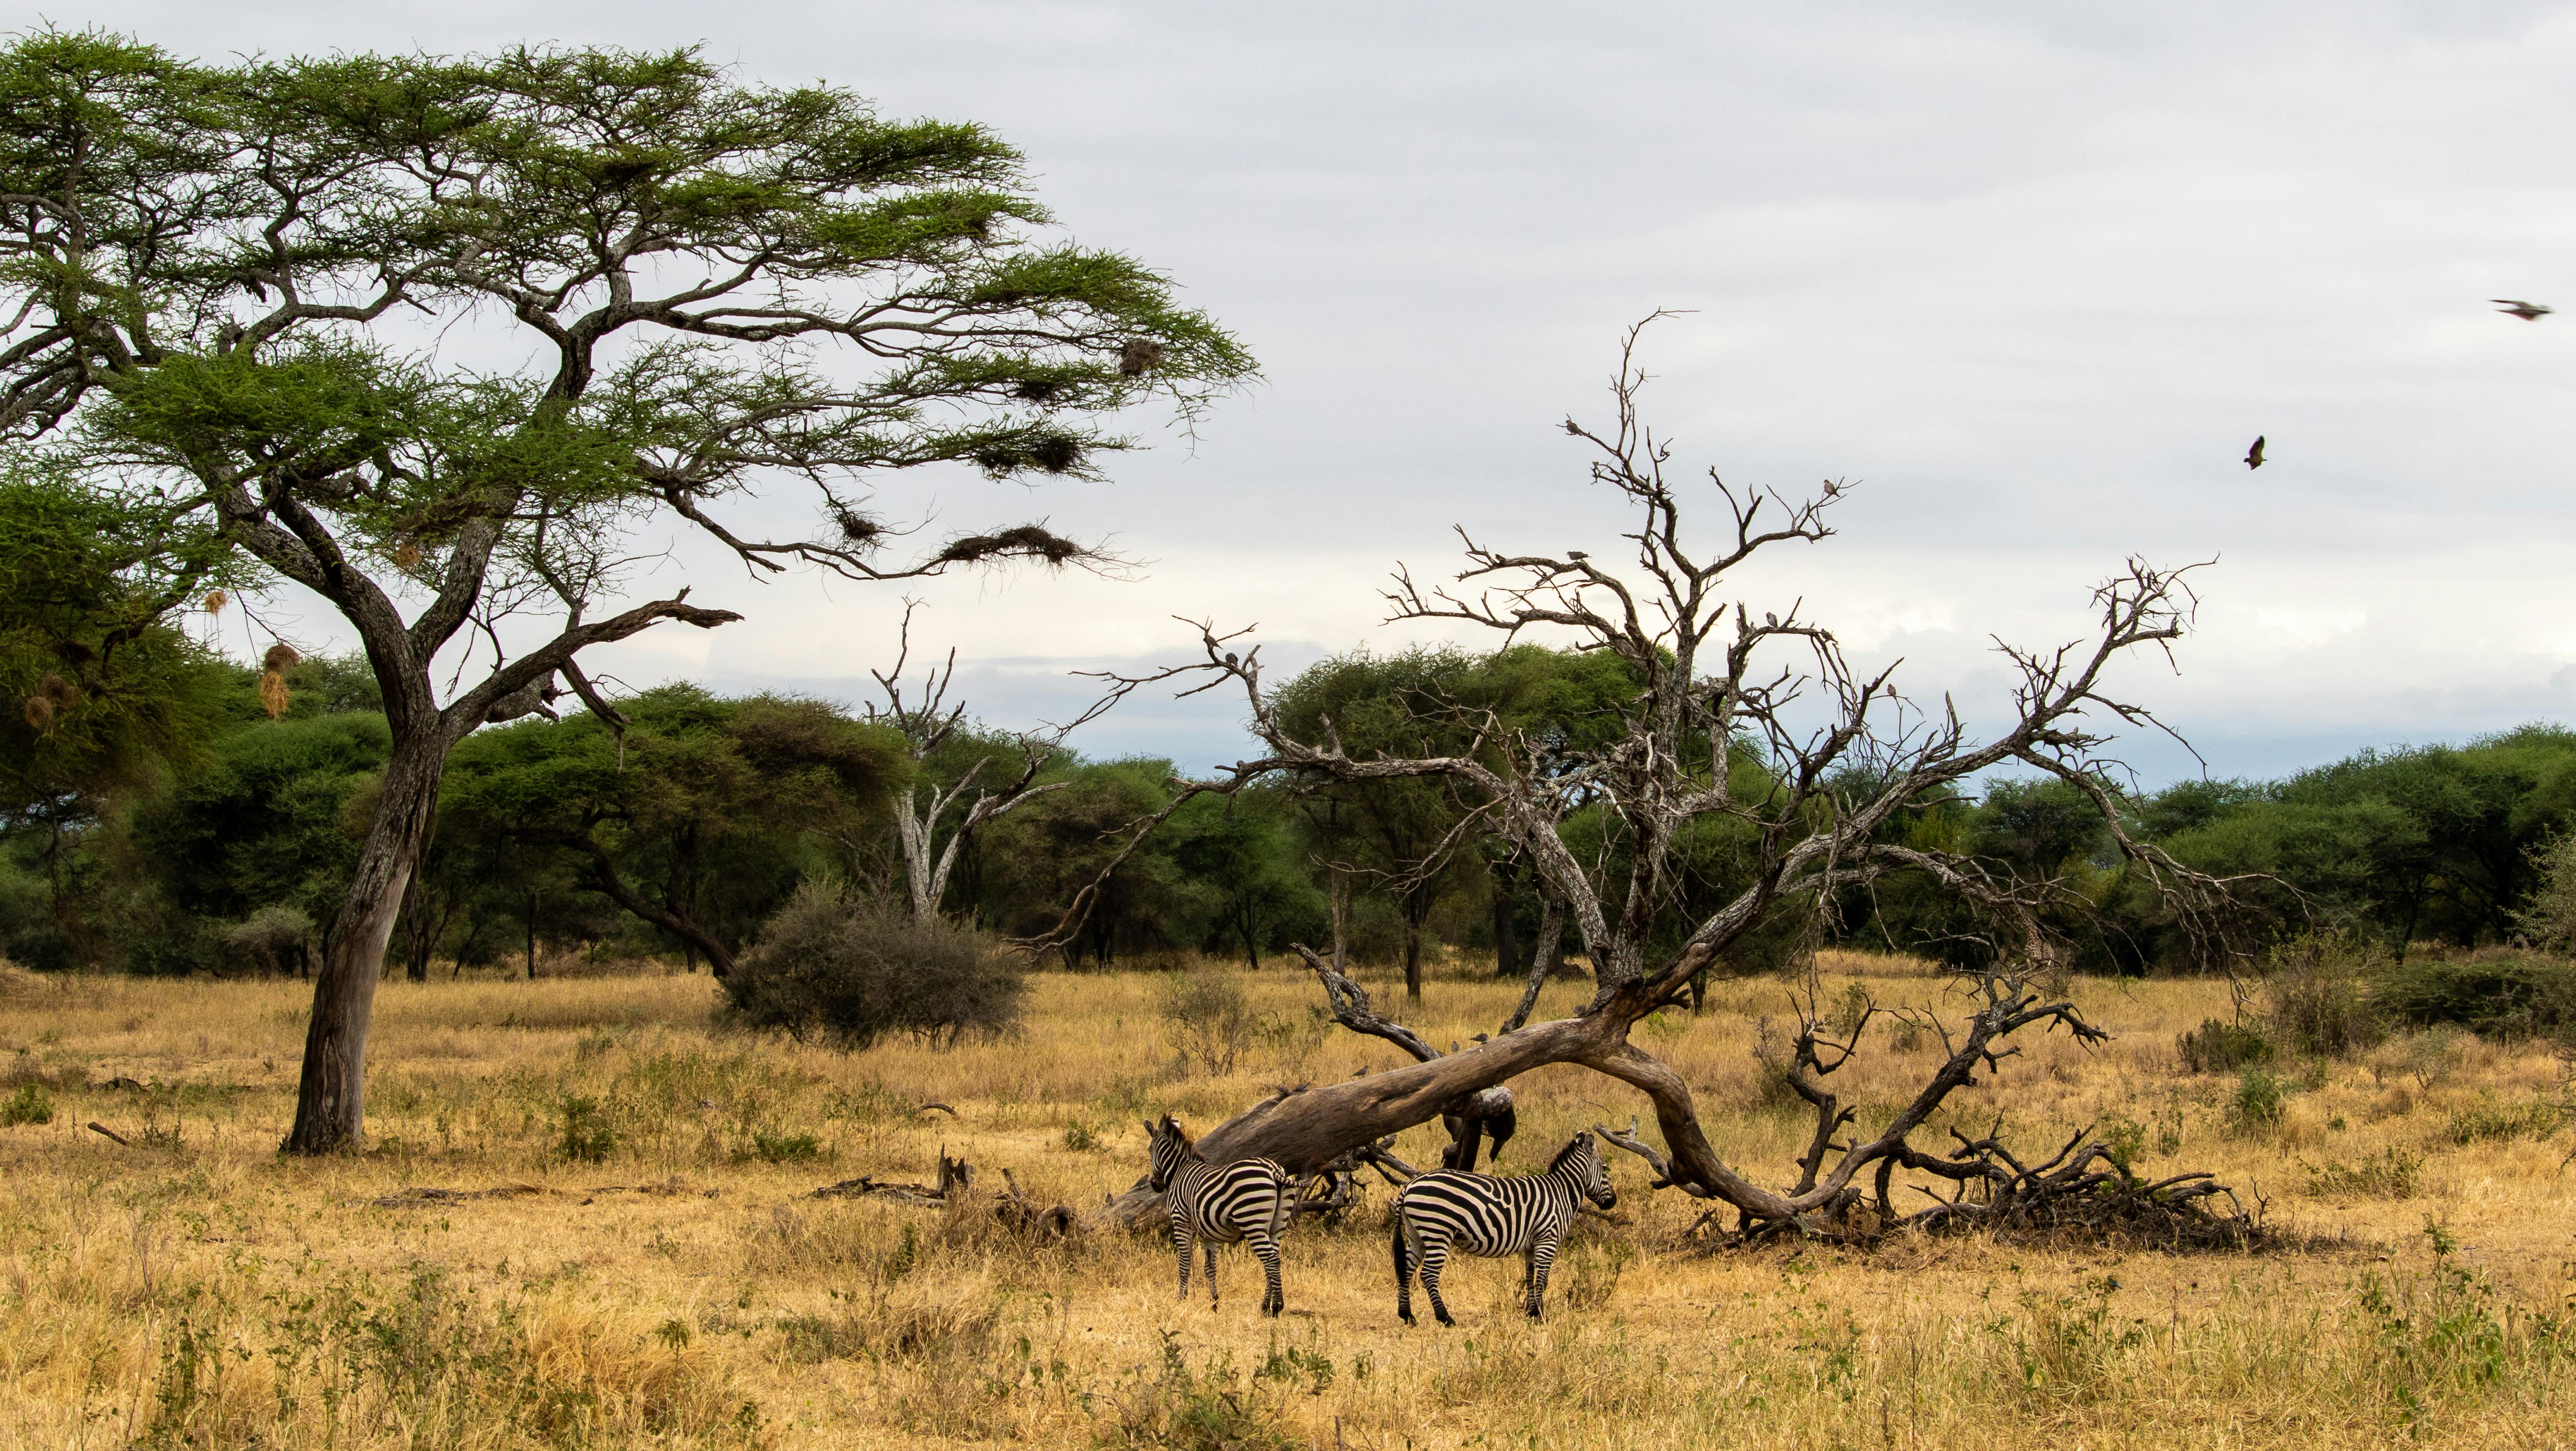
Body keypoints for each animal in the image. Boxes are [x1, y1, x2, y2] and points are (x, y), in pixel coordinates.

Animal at [1143, 1114, 1295, 1316]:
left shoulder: (1181, 1221)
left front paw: (1181, 1299)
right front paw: (1214, 1303)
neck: (1179, 1170)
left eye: (1149, 1150)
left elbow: (1185, 1262)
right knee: (1273, 1259)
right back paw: (1265, 1307)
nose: (1155, 1185)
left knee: (1271, 1260)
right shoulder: (1208, 1230)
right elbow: (1210, 1267)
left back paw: (1276, 1307)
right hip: (1277, 1224)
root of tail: (1274, 1171)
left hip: (1252, 1221)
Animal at [1392, 1130, 1617, 1325]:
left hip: (1417, 1235)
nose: (1613, 1202)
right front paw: (1541, 1316)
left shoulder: (1532, 1245)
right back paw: (1445, 1318)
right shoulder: (1548, 1239)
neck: (1562, 1191)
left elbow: (1530, 1277)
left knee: (1406, 1269)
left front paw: (1532, 1313)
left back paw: (1407, 1315)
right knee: (1428, 1274)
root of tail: (1409, 1186)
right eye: (1605, 1169)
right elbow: (1543, 1279)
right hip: (1438, 1230)